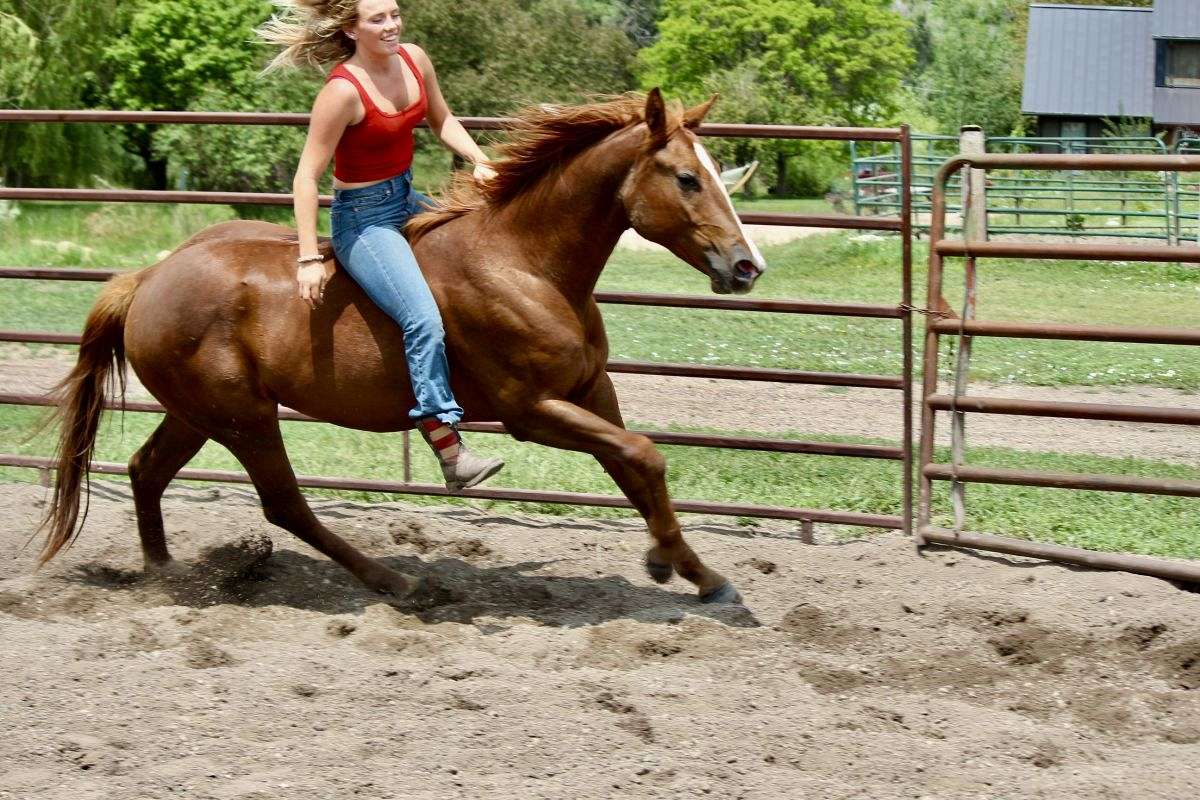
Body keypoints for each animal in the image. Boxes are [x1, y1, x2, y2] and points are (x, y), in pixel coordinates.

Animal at [38, 89, 766, 605]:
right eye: (687, 178)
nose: (746, 266)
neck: (525, 264)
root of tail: (147, 279)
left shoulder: (591, 391)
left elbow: (635, 468)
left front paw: (690, 570)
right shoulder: (531, 410)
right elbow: (644, 457)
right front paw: (680, 567)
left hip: (197, 414)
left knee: (146, 470)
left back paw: (164, 575)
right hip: (243, 419)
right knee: (284, 504)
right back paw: (399, 584)